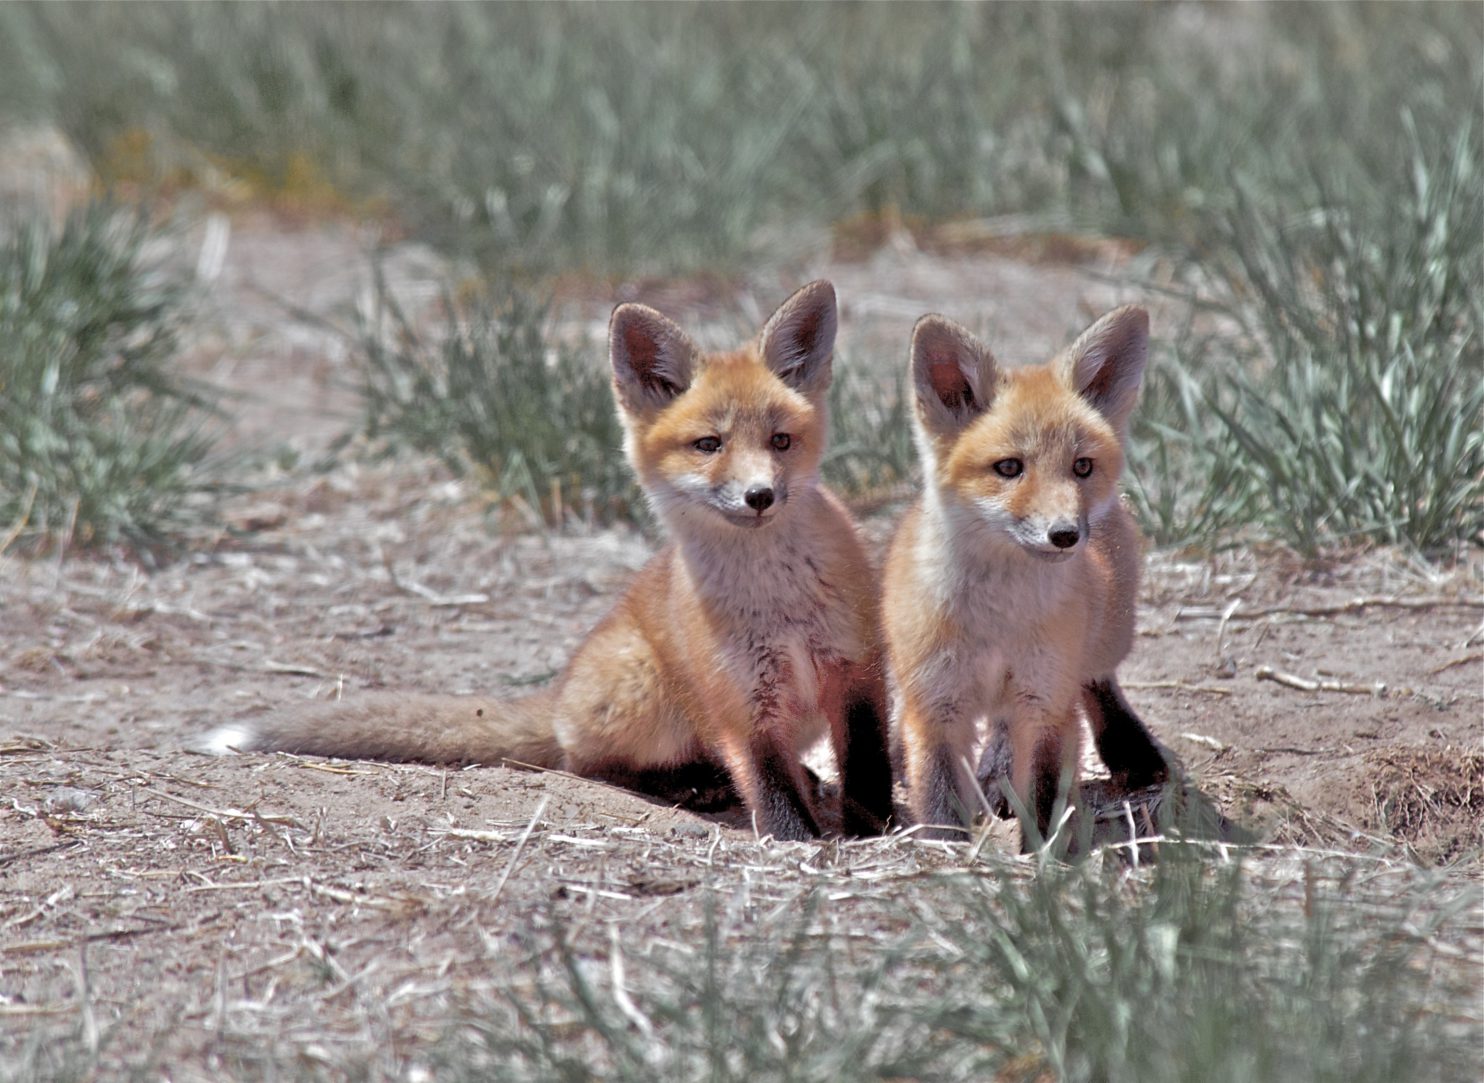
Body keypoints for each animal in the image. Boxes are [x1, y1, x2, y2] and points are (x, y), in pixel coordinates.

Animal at [203, 281, 893, 842]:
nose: (760, 496)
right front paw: (800, 846)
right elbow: (769, 790)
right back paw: (688, 782)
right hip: (639, 685)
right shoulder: (738, 702)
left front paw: (877, 831)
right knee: (584, 760)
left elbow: (869, 769)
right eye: (708, 445)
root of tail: (559, 693)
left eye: (781, 441)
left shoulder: (855, 670)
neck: (779, 601)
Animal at [881, 305, 1168, 846]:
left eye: (1082, 467)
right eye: (1009, 467)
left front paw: (1041, 850)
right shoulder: (936, 701)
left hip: (1103, 643)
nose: (1066, 534)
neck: (998, 621)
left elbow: (1043, 788)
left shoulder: (1045, 699)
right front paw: (944, 848)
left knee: (1093, 684)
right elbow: (938, 792)